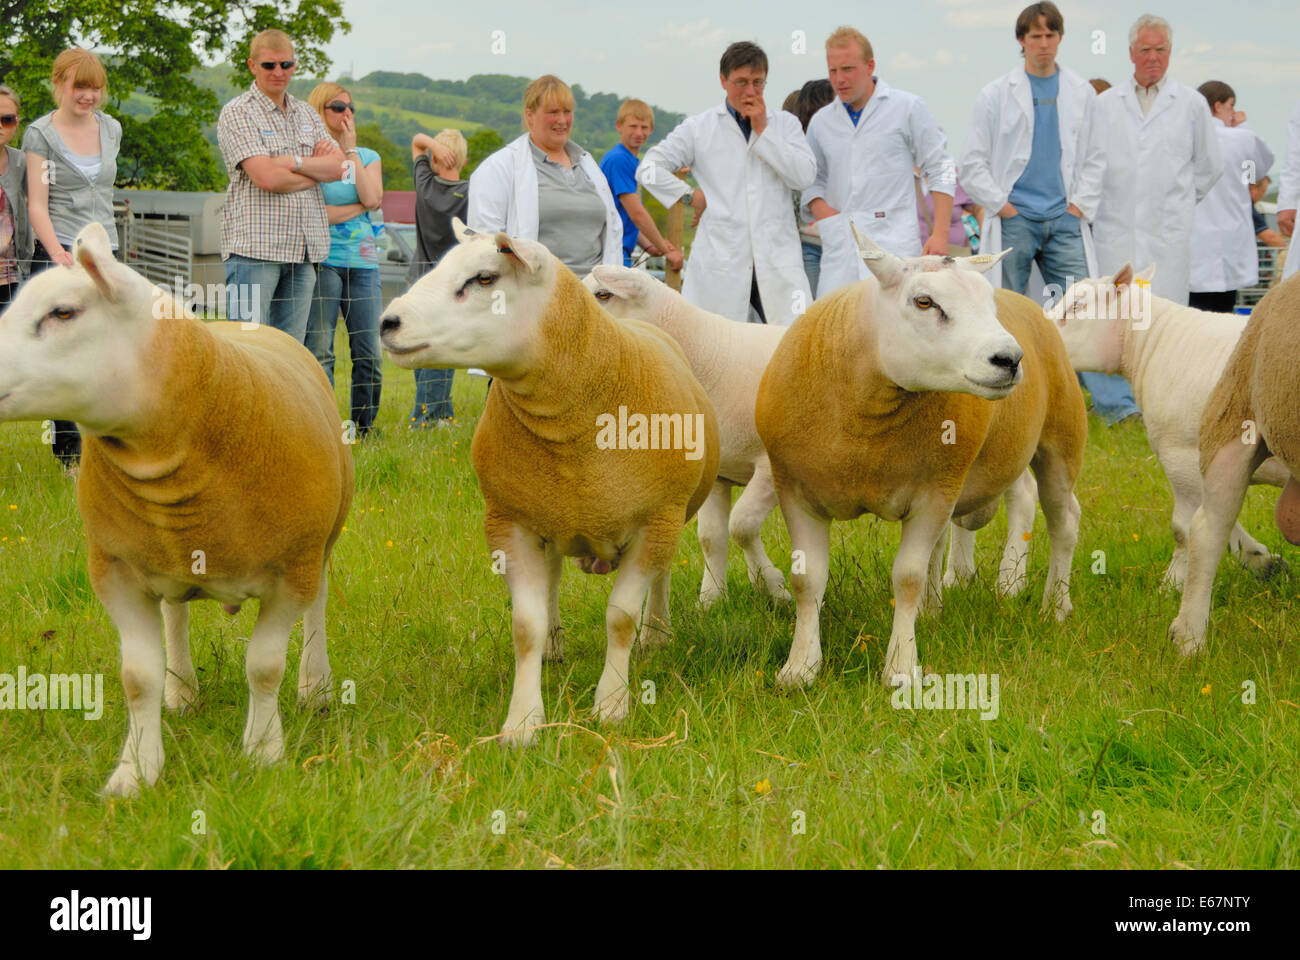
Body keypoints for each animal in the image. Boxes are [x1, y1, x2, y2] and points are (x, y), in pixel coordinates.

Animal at [0, 223, 353, 796]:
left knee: (318, 607)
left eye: (62, 313)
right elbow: (136, 677)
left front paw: (263, 750)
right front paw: (136, 770)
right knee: (176, 614)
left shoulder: (291, 569)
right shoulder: (116, 571)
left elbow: (264, 667)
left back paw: (316, 687)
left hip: (320, 544)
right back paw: (182, 690)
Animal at [379, 221, 719, 745]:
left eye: (484, 278)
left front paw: (612, 704)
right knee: (554, 579)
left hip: (671, 515)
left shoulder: (655, 520)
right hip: (552, 514)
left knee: (659, 577)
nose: (388, 323)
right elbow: (525, 625)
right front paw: (522, 722)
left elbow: (620, 618)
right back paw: (555, 646)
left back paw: (657, 634)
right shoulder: (509, 522)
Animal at [581, 265, 790, 607]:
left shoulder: (773, 466)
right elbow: (711, 537)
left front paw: (772, 587)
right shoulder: (718, 474)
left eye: (602, 294)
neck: (705, 356)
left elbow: (742, 525)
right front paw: (711, 599)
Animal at [754, 223, 1086, 688]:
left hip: (1060, 438)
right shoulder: (796, 492)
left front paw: (900, 667)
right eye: (924, 301)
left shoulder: (934, 492)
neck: (867, 434)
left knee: (1064, 520)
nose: (1009, 359)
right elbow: (807, 580)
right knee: (1013, 504)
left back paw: (1054, 605)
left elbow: (907, 577)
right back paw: (961, 600)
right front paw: (800, 668)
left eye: (989, 304)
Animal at [1047, 264, 1288, 590]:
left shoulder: (1181, 455)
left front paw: (1171, 586)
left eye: (1076, 307)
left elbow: (1184, 529)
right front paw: (1263, 561)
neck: (1153, 344)